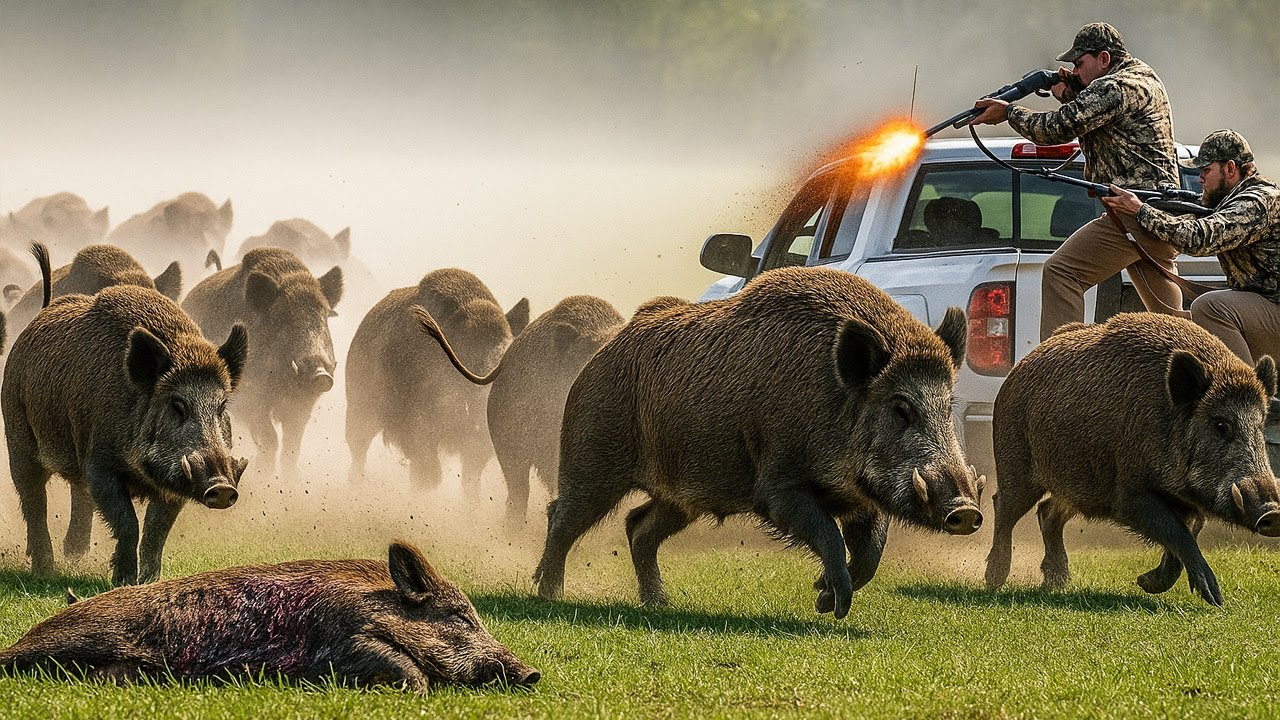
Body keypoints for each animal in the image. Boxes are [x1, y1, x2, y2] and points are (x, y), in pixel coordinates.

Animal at [0, 541, 541, 691]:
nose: (532, 672)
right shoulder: (349, 636)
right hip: (73, 635)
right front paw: (418, 691)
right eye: (461, 617)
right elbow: (405, 668)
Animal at [182, 247, 341, 478]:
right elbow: (270, 439)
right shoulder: (250, 400)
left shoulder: (301, 406)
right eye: (283, 318)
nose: (321, 374)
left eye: (325, 316)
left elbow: (292, 446)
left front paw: (290, 481)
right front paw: (265, 476)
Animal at [345, 269, 528, 492]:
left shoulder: (476, 444)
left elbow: (470, 480)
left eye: (506, 351)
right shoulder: (418, 423)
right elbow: (429, 474)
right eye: (474, 355)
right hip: (359, 408)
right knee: (358, 449)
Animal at [533, 267, 984, 619]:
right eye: (901, 408)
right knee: (562, 516)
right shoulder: (777, 486)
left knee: (638, 526)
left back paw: (660, 604)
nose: (965, 511)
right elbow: (829, 534)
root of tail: (602, 352)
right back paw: (549, 595)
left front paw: (822, 597)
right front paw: (834, 603)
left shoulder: (861, 496)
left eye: (947, 406)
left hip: (680, 495)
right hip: (592, 459)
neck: (832, 398)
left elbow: (871, 551)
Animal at [985, 313, 1280, 607]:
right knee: (1003, 506)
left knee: (1047, 512)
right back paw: (994, 580)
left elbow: (1185, 536)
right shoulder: (1129, 494)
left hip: (1076, 486)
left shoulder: (1187, 502)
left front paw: (1146, 582)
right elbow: (1177, 533)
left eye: (1260, 425)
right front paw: (1214, 597)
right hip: (1015, 461)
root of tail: (1017, 369)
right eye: (1220, 425)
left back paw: (1057, 583)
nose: (1273, 512)